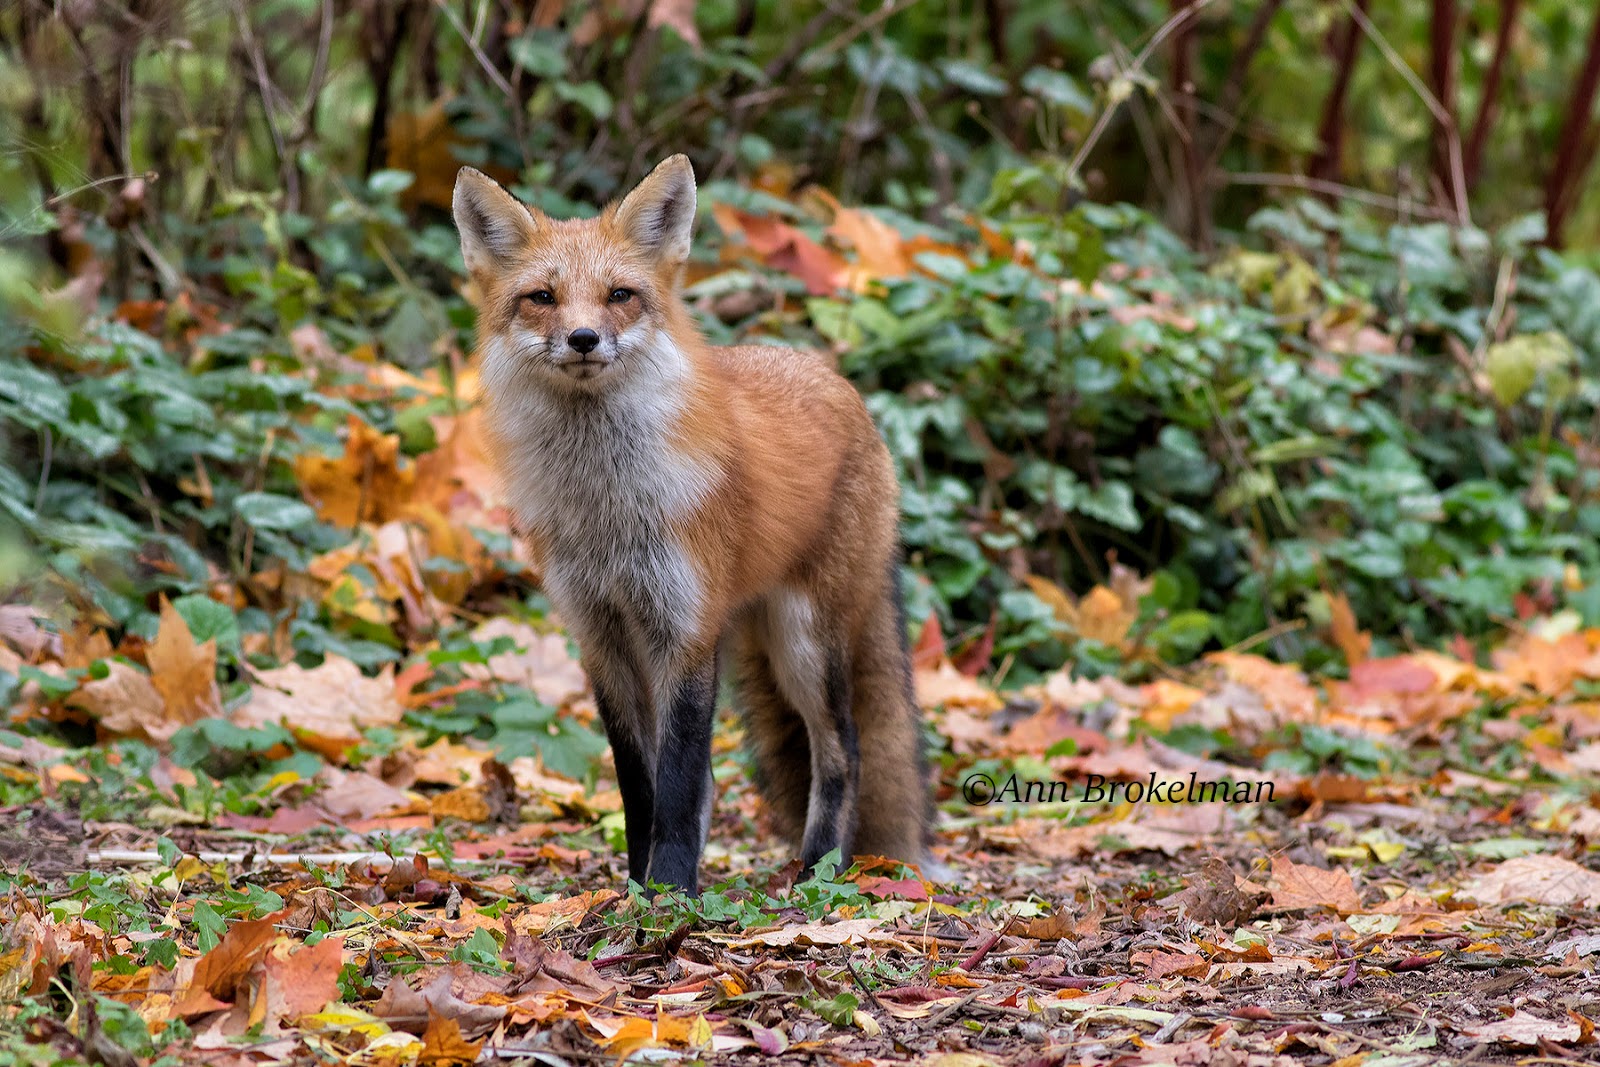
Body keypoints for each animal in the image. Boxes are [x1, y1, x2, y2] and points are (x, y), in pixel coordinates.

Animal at [451, 155, 933, 894]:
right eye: (542, 298)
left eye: (620, 295)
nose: (584, 338)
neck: (608, 510)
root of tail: (834, 378)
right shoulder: (602, 637)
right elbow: (641, 784)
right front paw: (636, 885)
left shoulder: (686, 628)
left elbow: (676, 782)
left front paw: (670, 892)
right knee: (723, 776)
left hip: (805, 643)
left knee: (841, 749)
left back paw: (817, 871)